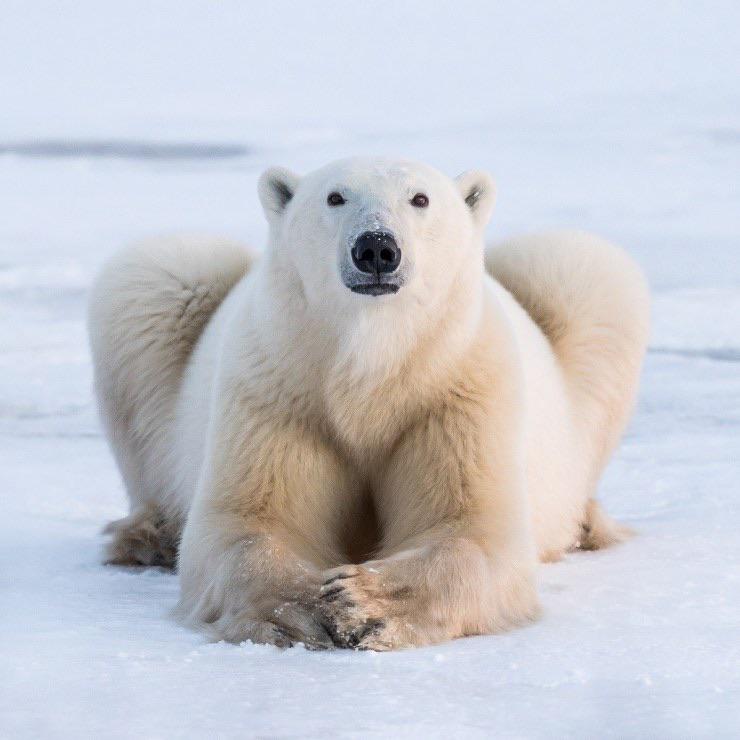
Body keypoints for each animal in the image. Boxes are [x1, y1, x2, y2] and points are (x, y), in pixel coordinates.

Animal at [88, 157, 649, 650]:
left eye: (420, 198)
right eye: (335, 197)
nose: (377, 248)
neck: (368, 364)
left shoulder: (455, 387)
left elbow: (471, 527)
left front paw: (363, 603)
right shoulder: (280, 387)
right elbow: (249, 523)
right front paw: (301, 612)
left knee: (579, 270)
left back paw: (588, 523)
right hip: (170, 303)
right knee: (159, 272)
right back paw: (149, 535)